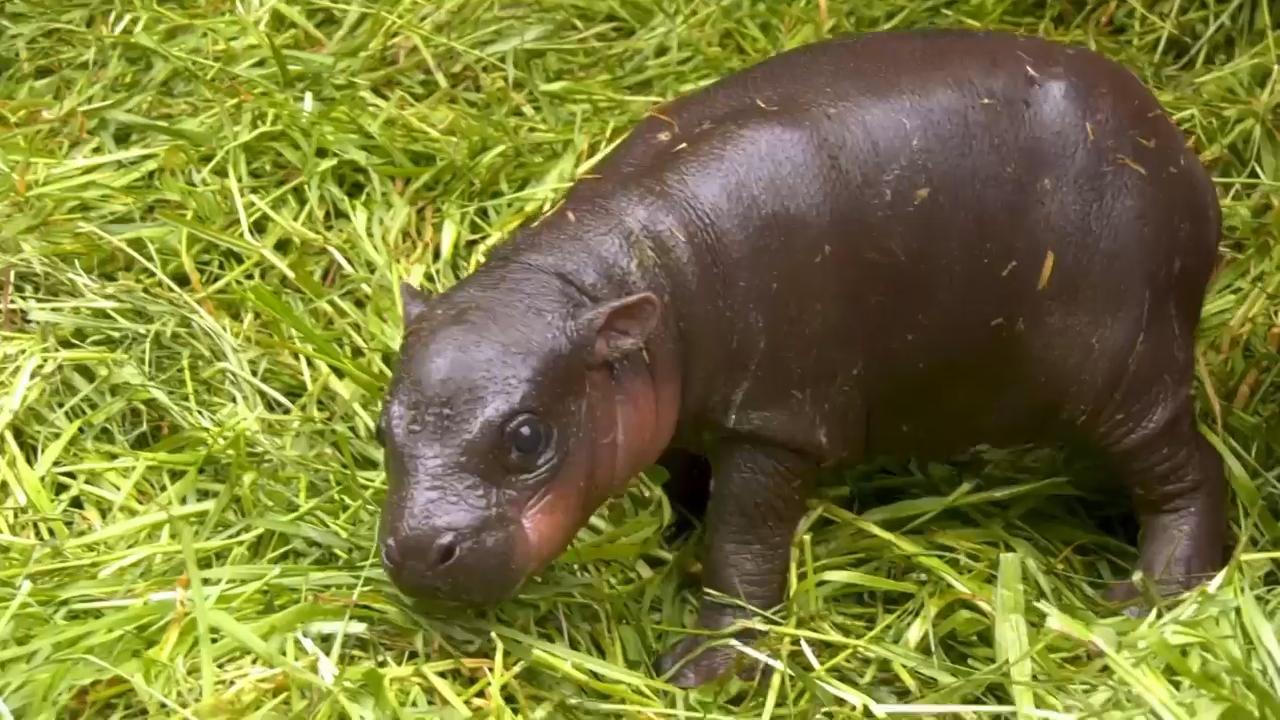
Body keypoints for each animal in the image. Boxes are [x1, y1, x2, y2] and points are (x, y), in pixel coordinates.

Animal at [375, 28, 1227, 687]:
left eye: (528, 437)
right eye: (384, 426)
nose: (417, 549)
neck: (612, 276)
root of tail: (1185, 159)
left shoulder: (774, 423)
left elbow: (743, 544)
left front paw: (704, 668)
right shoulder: (685, 407)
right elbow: (685, 477)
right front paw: (671, 542)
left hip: (1125, 375)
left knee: (1190, 473)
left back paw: (1145, 598)